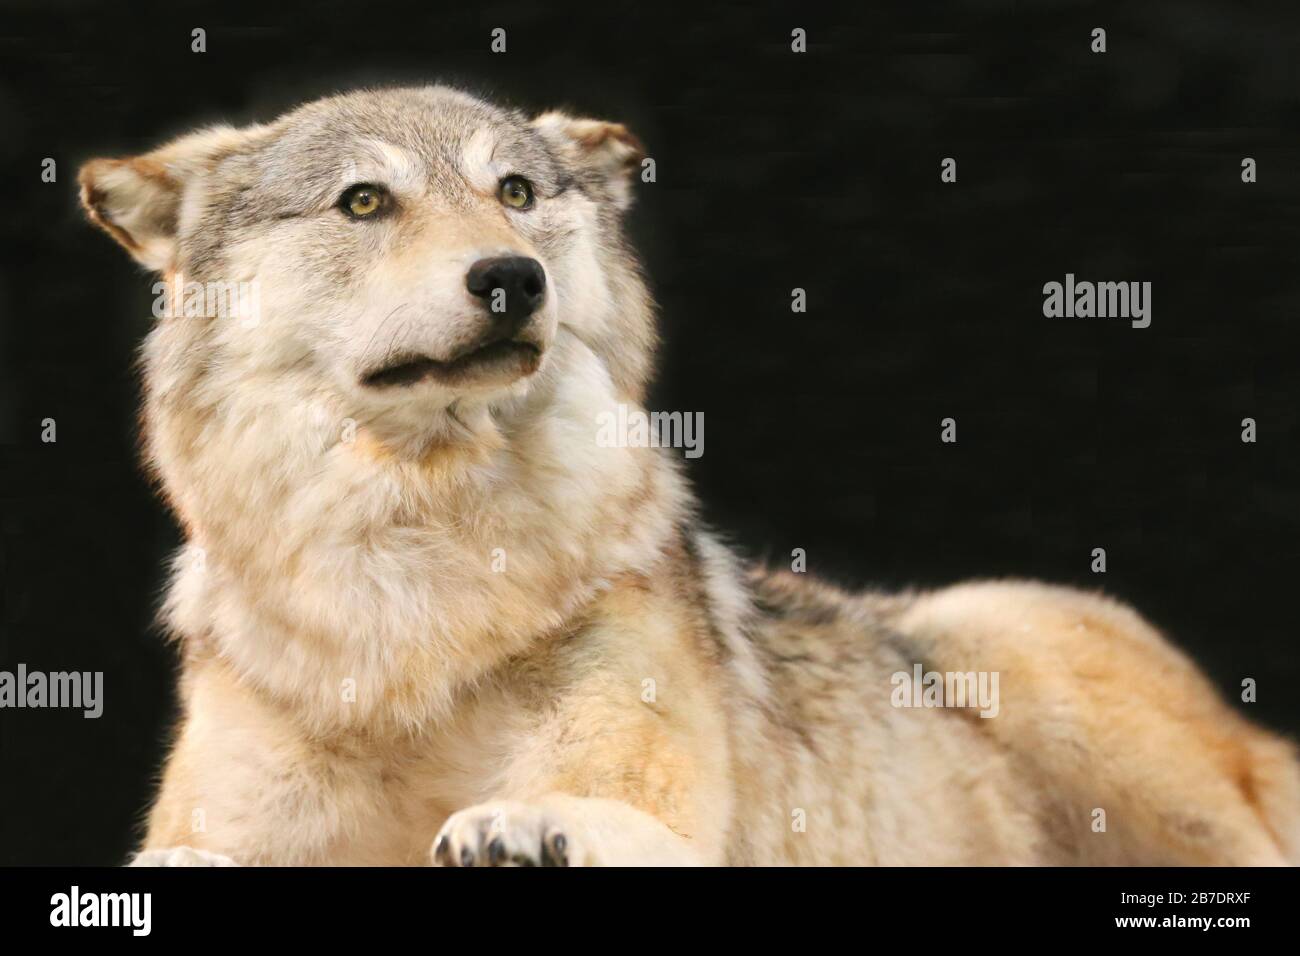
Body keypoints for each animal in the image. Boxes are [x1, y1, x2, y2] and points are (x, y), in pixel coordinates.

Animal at [79, 86, 1299, 866]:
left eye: (514, 192)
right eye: (365, 201)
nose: (511, 278)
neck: (421, 570)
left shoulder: (660, 796)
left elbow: (611, 811)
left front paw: (528, 826)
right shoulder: (224, 815)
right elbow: (184, 855)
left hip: (1015, 650)